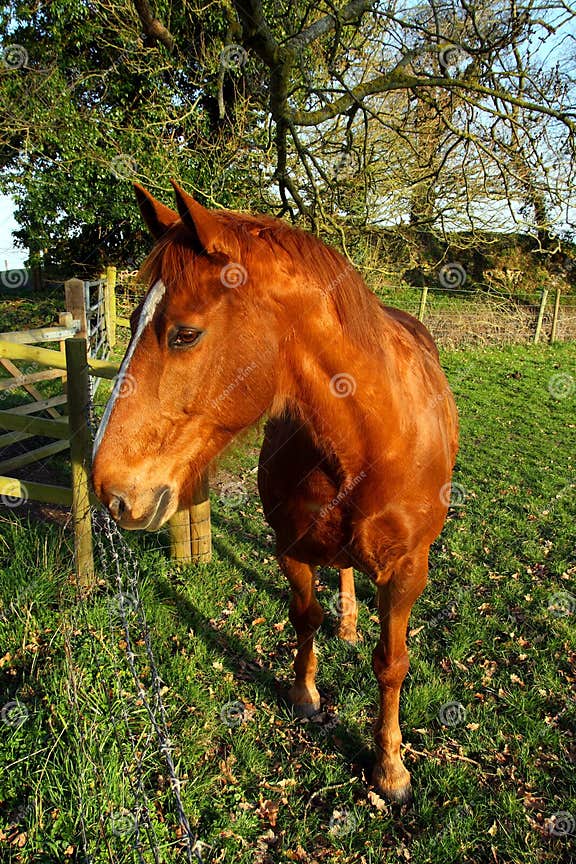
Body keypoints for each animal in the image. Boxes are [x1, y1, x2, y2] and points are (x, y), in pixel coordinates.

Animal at [92, 181, 459, 803]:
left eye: (185, 333)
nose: (107, 488)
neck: (373, 439)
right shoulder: (290, 546)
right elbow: (304, 616)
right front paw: (304, 694)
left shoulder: (408, 570)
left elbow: (392, 662)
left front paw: (390, 767)